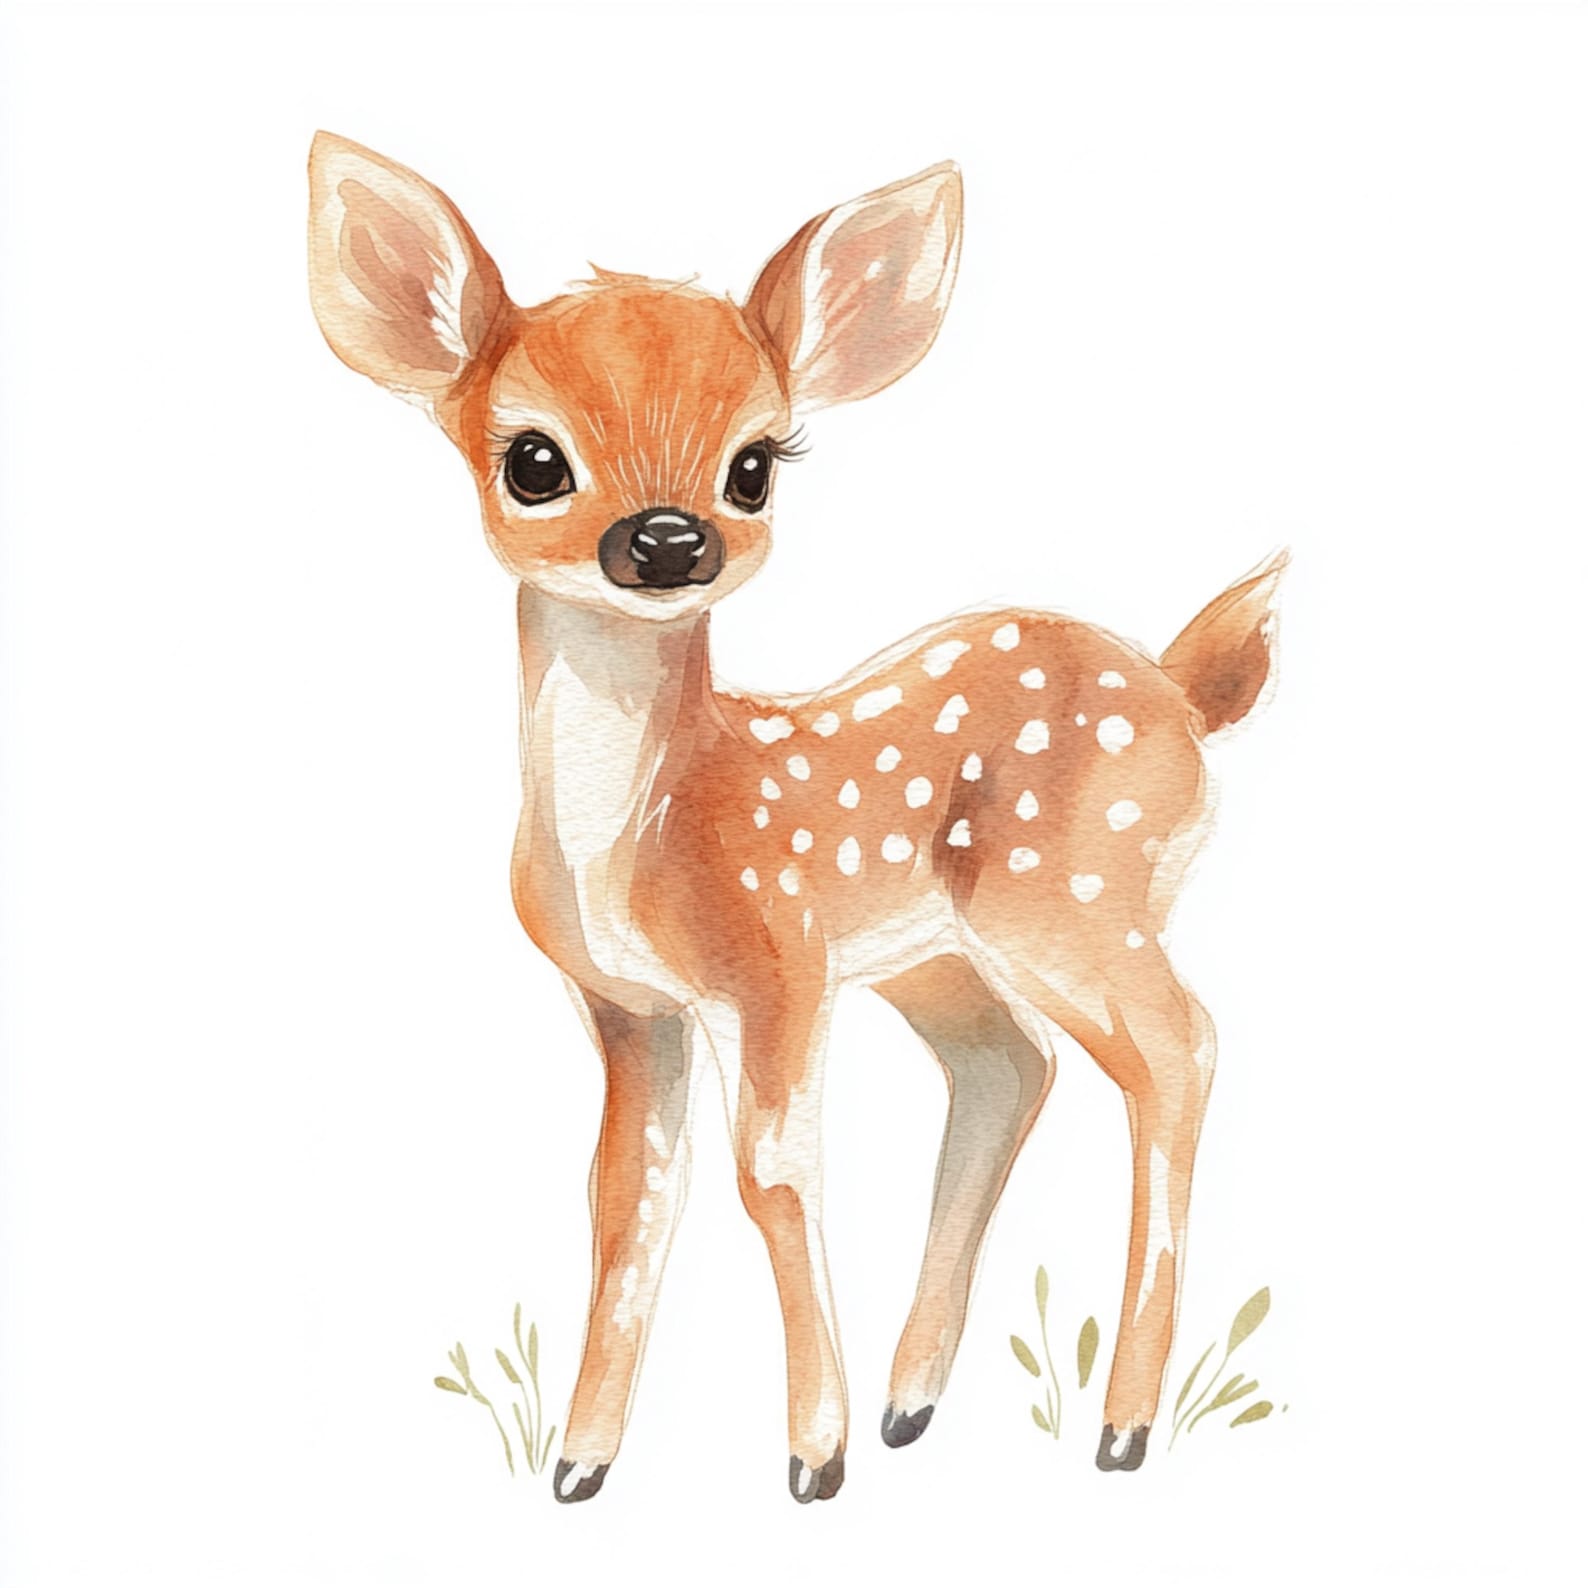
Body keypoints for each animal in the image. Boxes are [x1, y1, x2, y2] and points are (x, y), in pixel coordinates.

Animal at [307, 131, 1284, 1506]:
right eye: (533, 460)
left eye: (754, 464)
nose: (666, 539)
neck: (648, 829)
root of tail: (1189, 696)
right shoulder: (630, 1003)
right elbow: (623, 1197)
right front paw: (580, 1463)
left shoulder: (775, 968)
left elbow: (769, 1177)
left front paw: (811, 1458)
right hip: (938, 951)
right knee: (1011, 1065)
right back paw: (912, 1400)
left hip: (1076, 896)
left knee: (1181, 1045)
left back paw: (1119, 1425)